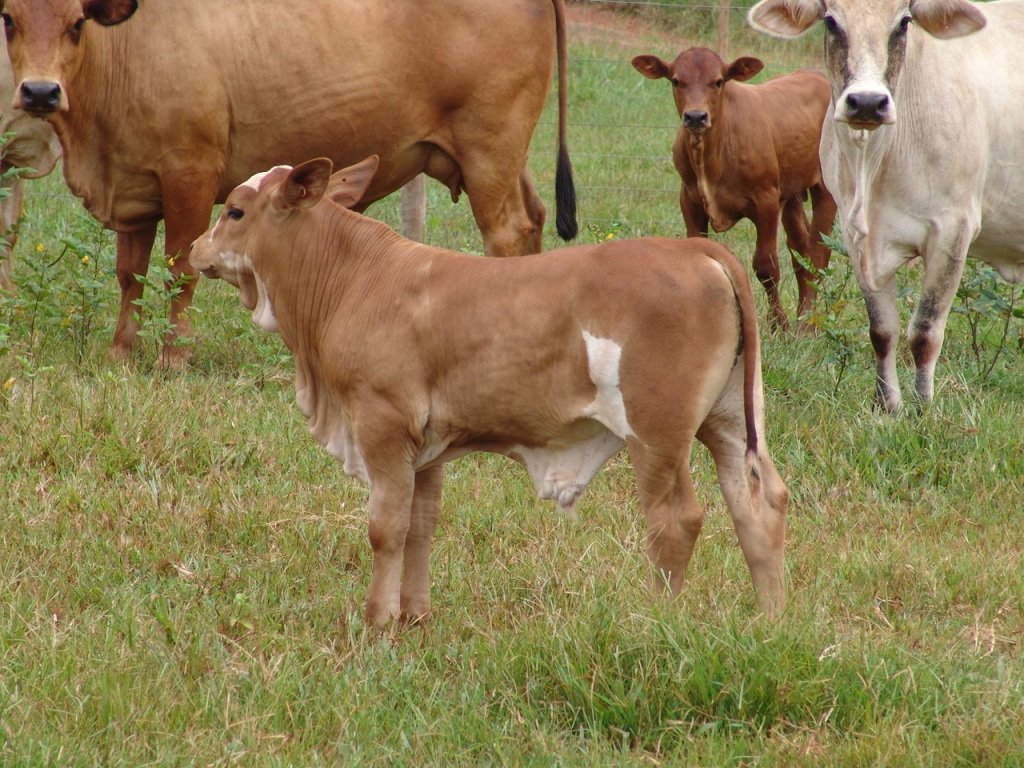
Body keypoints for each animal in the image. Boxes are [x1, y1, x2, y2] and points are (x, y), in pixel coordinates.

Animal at [1, 0, 577, 368]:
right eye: (9, 19)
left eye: (77, 23)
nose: (39, 92)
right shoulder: (134, 188)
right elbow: (131, 277)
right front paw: (122, 351)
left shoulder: (189, 173)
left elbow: (180, 271)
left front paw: (173, 356)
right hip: (501, 159)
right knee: (534, 222)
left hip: (490, 151)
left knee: (507, 233)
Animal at [189, 155, 790, 626]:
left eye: (235, 211)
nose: (195, 248)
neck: (355, 279)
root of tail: (697, 252)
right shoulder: (426, 448)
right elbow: (420, 526)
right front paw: (413, 618)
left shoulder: (382, 427)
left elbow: (387, 528)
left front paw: (377, 621)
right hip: (730, 422)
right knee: (758, 505)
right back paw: (768, 622)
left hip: (656, 435)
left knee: (676, 520)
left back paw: (654, 620)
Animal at [632, 47, 837, 331]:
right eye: (675, 80)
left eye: (718, 81)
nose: (695, 117)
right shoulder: (689, 200)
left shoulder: (766, 200)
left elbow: (766, 266)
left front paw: (778, 325)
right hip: (792, 193)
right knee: (800, 249)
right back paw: (803, 317)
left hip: (825, 188)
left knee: (818, 252)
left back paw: (808, 326)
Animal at [748, 0, 1024, 412]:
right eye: (831, 21)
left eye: (904, 22)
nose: (867, 102)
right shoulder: (855, 236)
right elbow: (882, 330)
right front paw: (887, 404)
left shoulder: (952, 230)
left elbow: (924, 332)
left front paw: (922, 407)